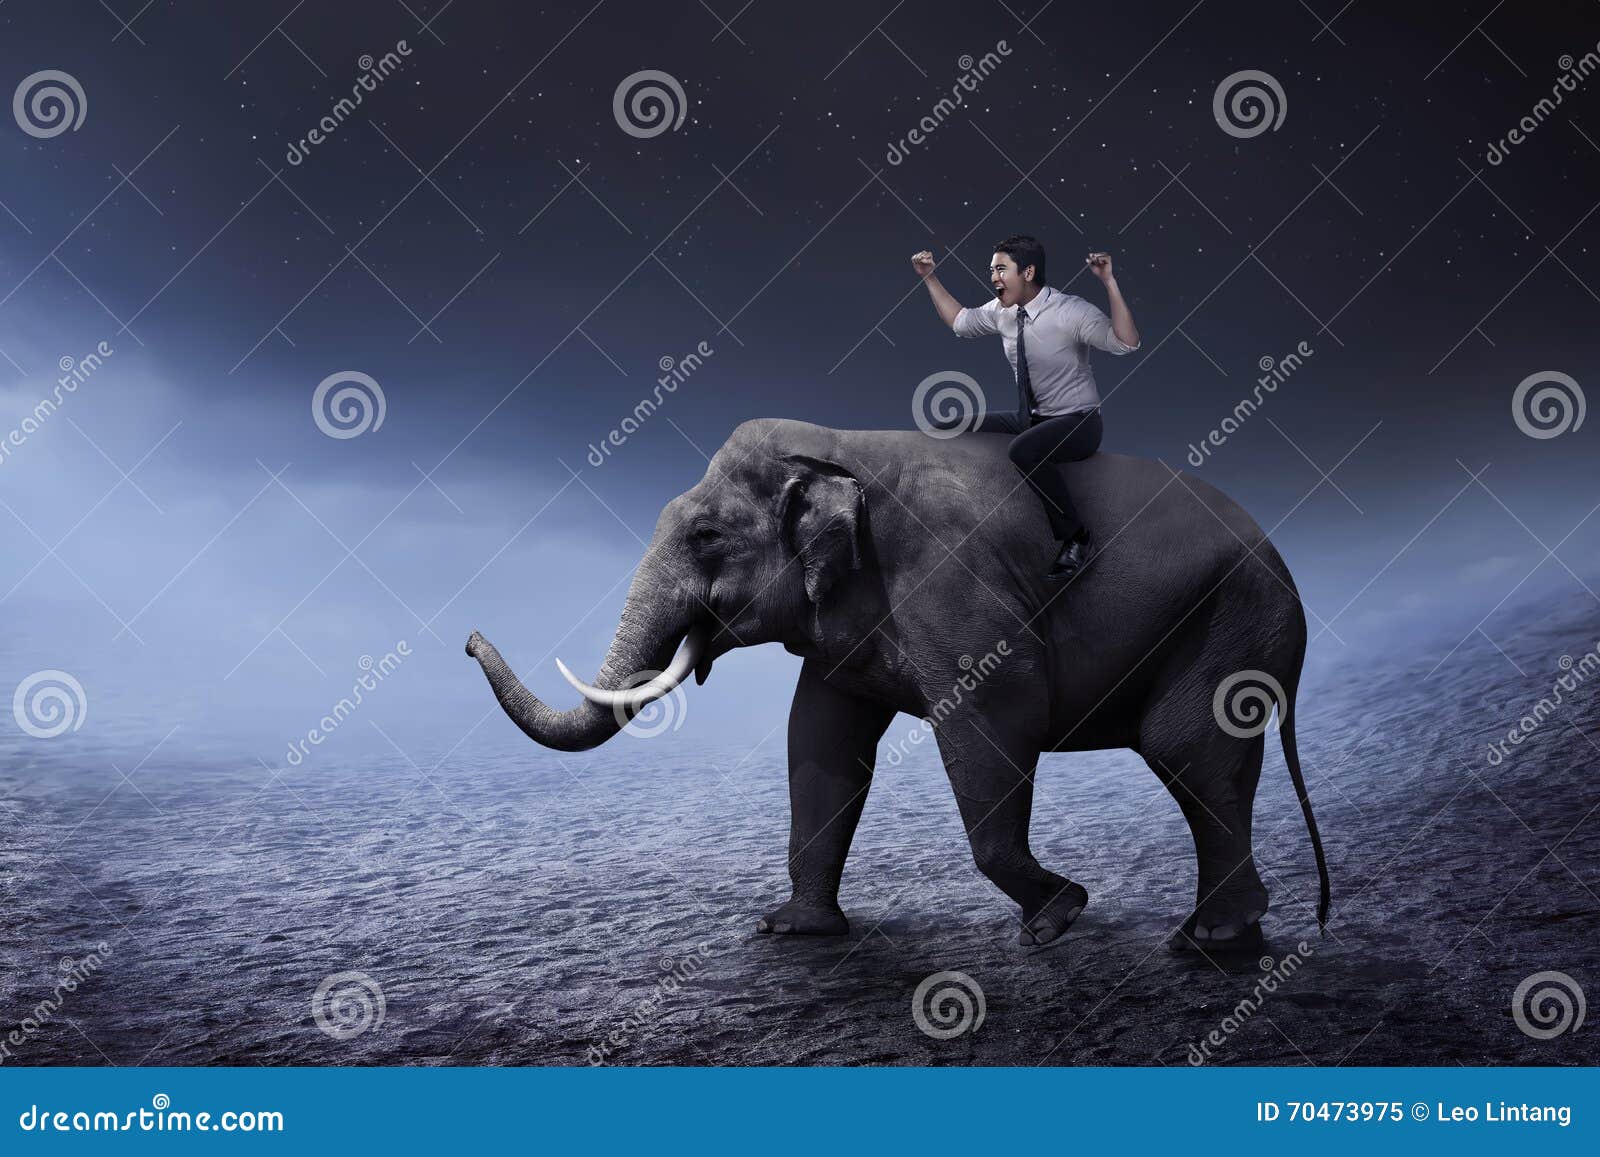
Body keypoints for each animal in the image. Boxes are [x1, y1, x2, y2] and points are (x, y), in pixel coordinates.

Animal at [466, 417, 1330, 951]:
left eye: (706, 536)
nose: (471, 637)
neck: (836, 447)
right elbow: (821, 740)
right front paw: (790, 931)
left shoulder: (952, 582)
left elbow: (997, 711)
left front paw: (1056, 920)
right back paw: (1214, 937)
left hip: (1232, 618)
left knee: (1186, 746)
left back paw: (1210, 941)